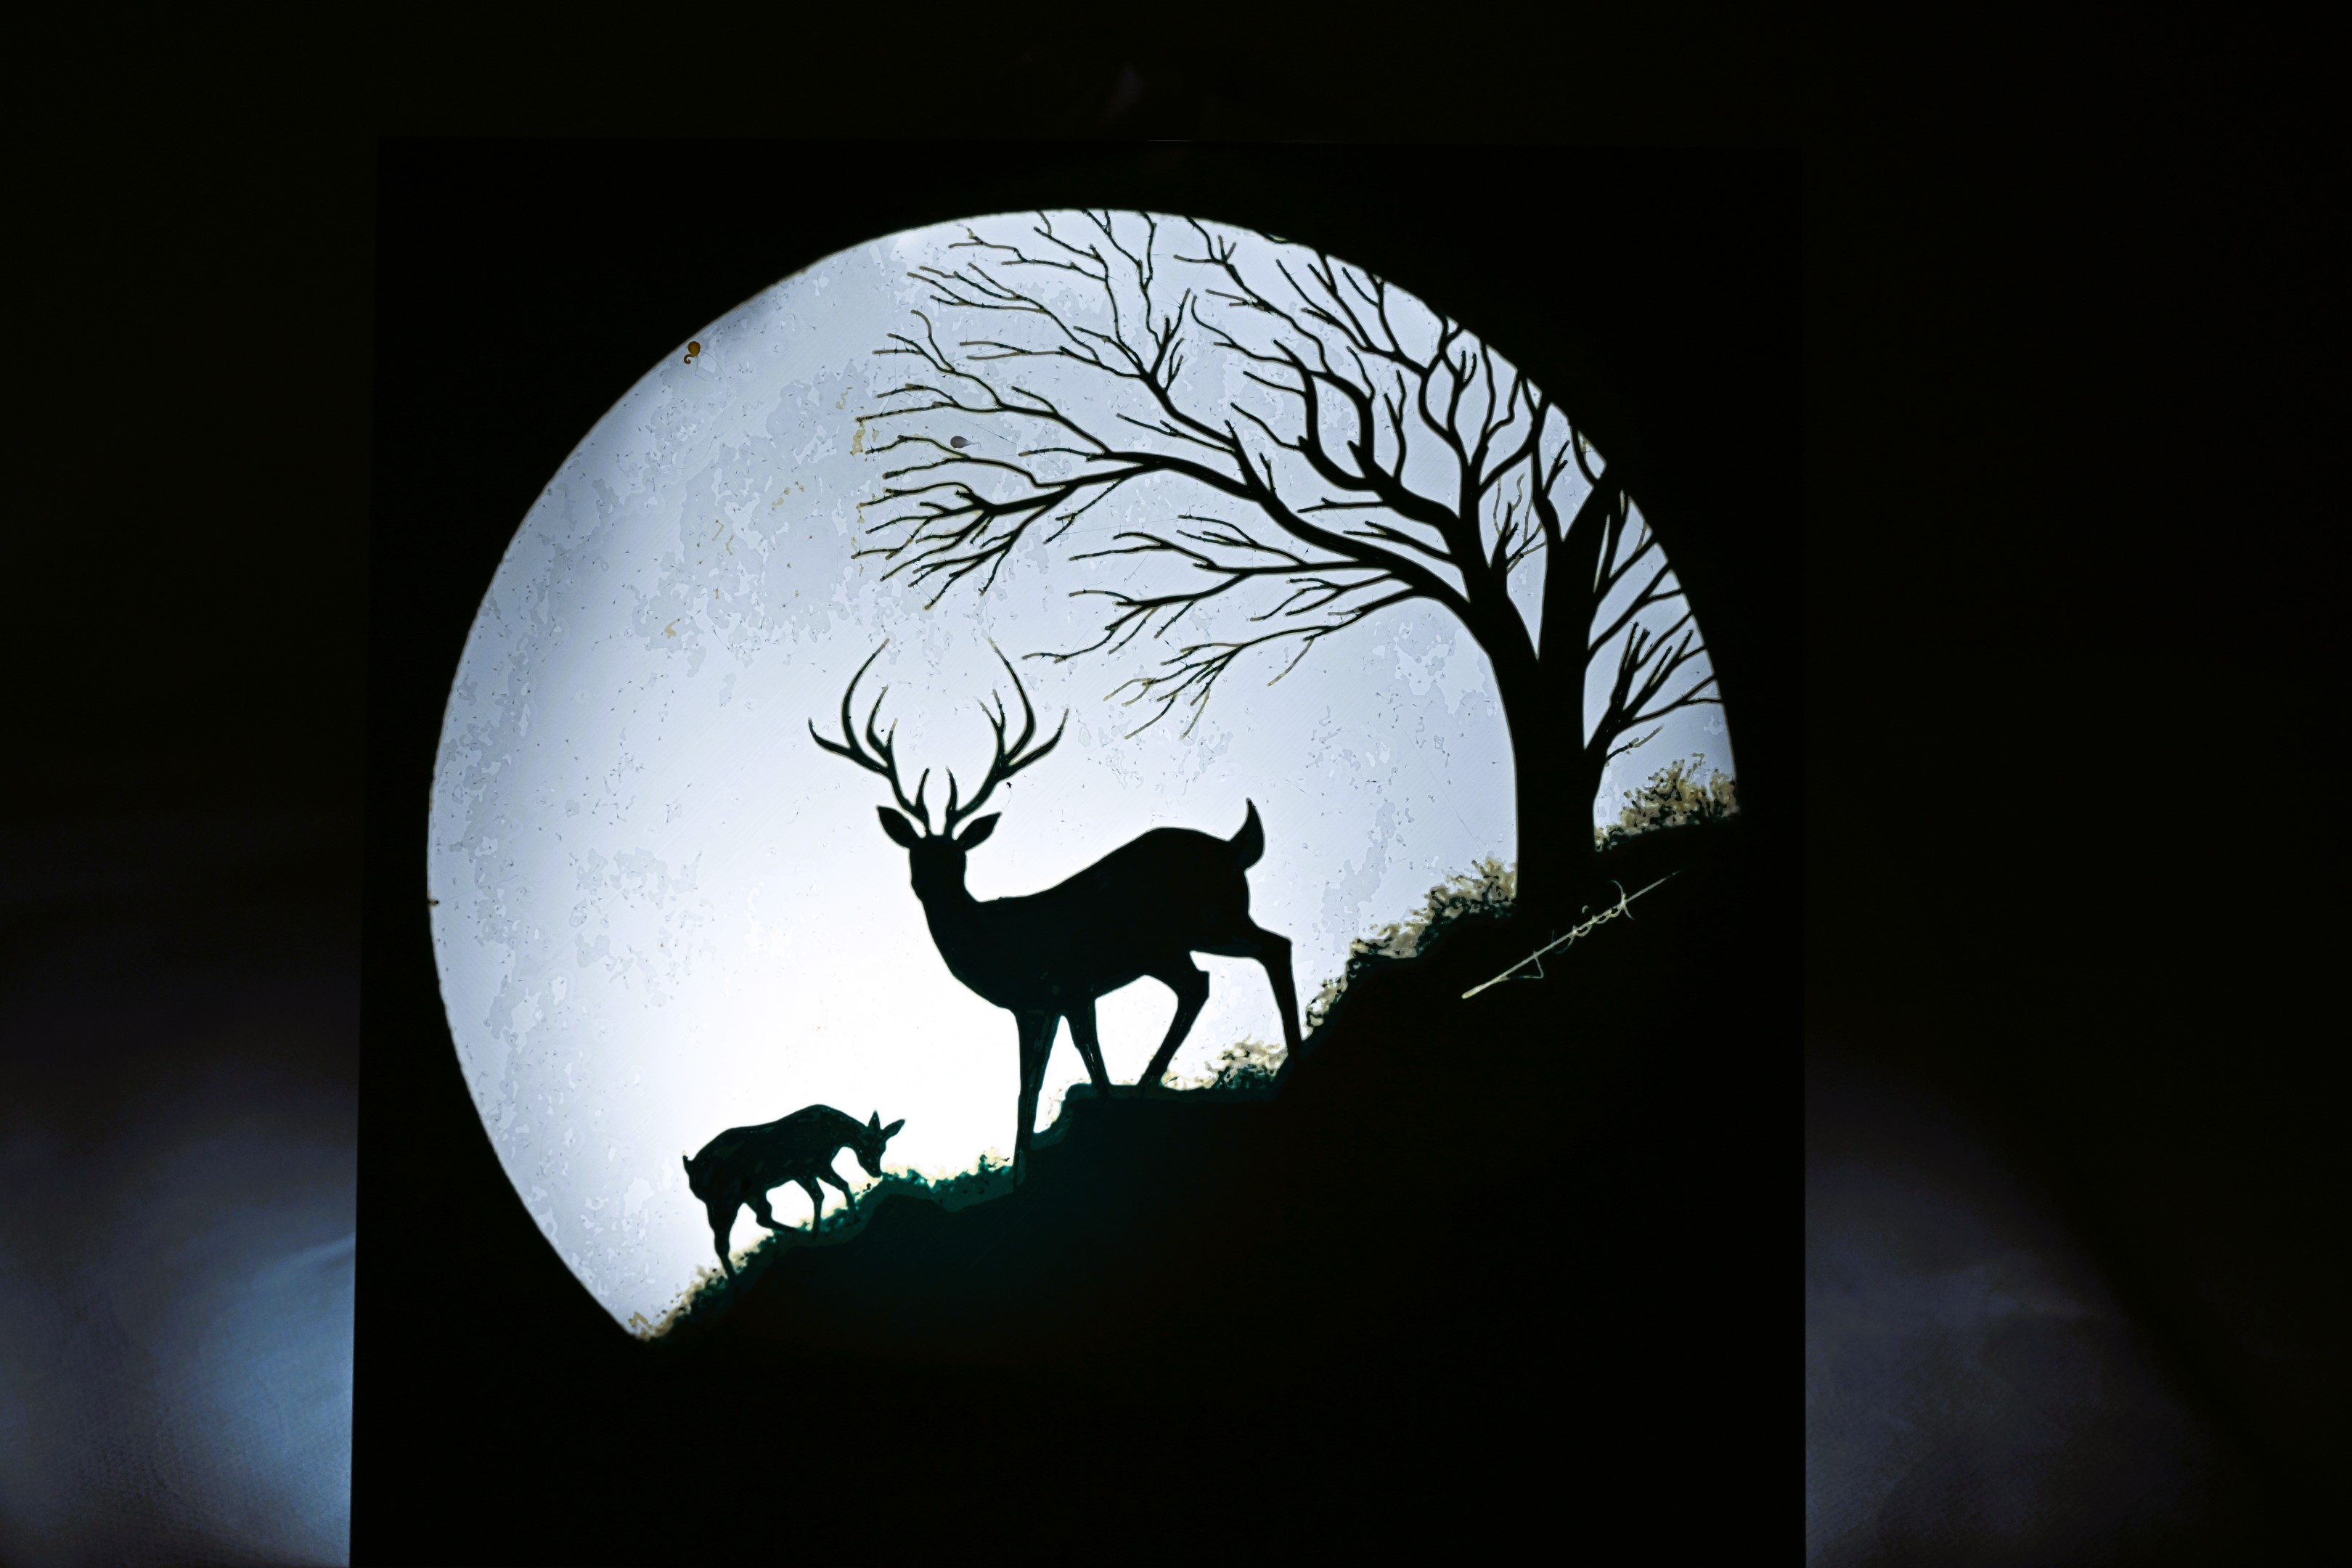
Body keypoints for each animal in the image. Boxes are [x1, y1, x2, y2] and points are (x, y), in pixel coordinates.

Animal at [683, 1105, 905, 1279]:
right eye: (872, 1145)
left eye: (883, 1148)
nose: (877, 1172)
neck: (834, 1137)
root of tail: (692, 1171)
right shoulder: (811, 1165)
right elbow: (830, 1190)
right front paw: (837, 1223)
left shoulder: (806, 1170)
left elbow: (827, 1191)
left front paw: (823, 1230)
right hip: (724, 1200)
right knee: (722, 1242)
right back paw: (736, 1282)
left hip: (752, 1193)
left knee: (762, 1217)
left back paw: (796, 1233)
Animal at [810, 641, 1302, 1182]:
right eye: (917, 855)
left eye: (958, 857)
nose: (929, 887)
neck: (1000, 944)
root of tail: (1235, 846)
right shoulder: (1037, 1004)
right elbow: (1031, 1086)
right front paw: (1021, 1171)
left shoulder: (1068, 984)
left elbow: (1082, 1062)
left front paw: (1094, 1123)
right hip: (1196, 934)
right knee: (1251, 958)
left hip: (1191, 928)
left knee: (1229, 969)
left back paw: (1161, 1084)